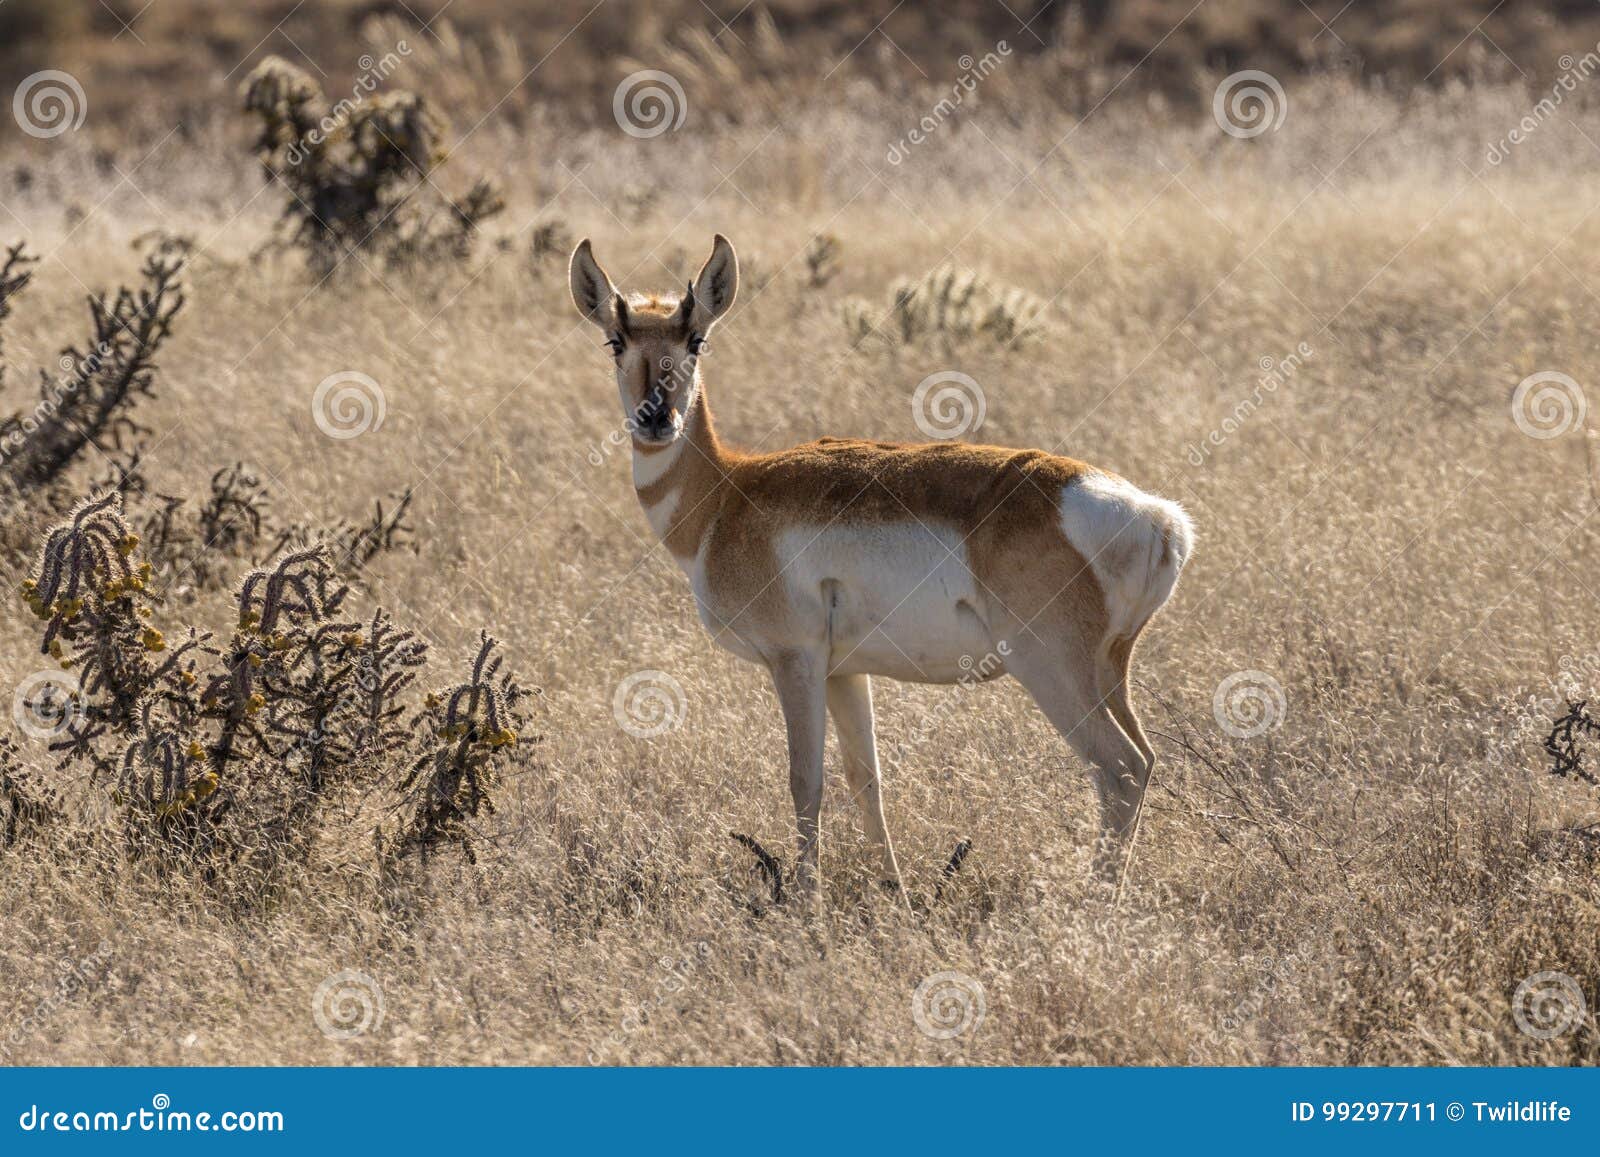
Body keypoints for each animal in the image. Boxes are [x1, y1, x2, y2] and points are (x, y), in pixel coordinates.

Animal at [570, 235, 1194, 903]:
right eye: (616, 340)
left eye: (695, 339)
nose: (657, 418)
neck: (730, 493)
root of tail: (1157, 518)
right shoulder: (846, 673)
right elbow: (864, 780)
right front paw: (895, 892)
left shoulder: (796, 661)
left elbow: (805, 781)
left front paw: (807, 901)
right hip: (1109, 673)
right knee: (1144, 762)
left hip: (1049, 669)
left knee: (1120, 768)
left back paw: (1094, 905)